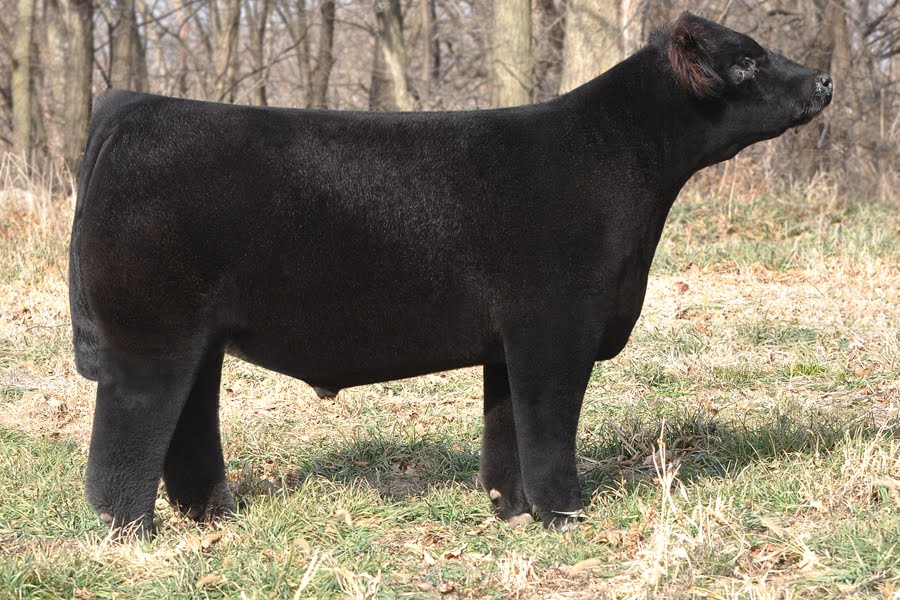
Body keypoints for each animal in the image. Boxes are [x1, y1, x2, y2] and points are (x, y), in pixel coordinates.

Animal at [69, 12, 832, 535]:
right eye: (745, 61)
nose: (824, 79)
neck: (617, 161)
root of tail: (136, 105)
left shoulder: (509, 340)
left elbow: (506, 428)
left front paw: (513, 510)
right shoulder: (556, 325)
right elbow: (549, 424)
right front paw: (565, 514)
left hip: (198, 338)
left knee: (189, 423)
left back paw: (213, 517)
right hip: (151, 335)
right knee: (127, 433)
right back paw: (130, 532)